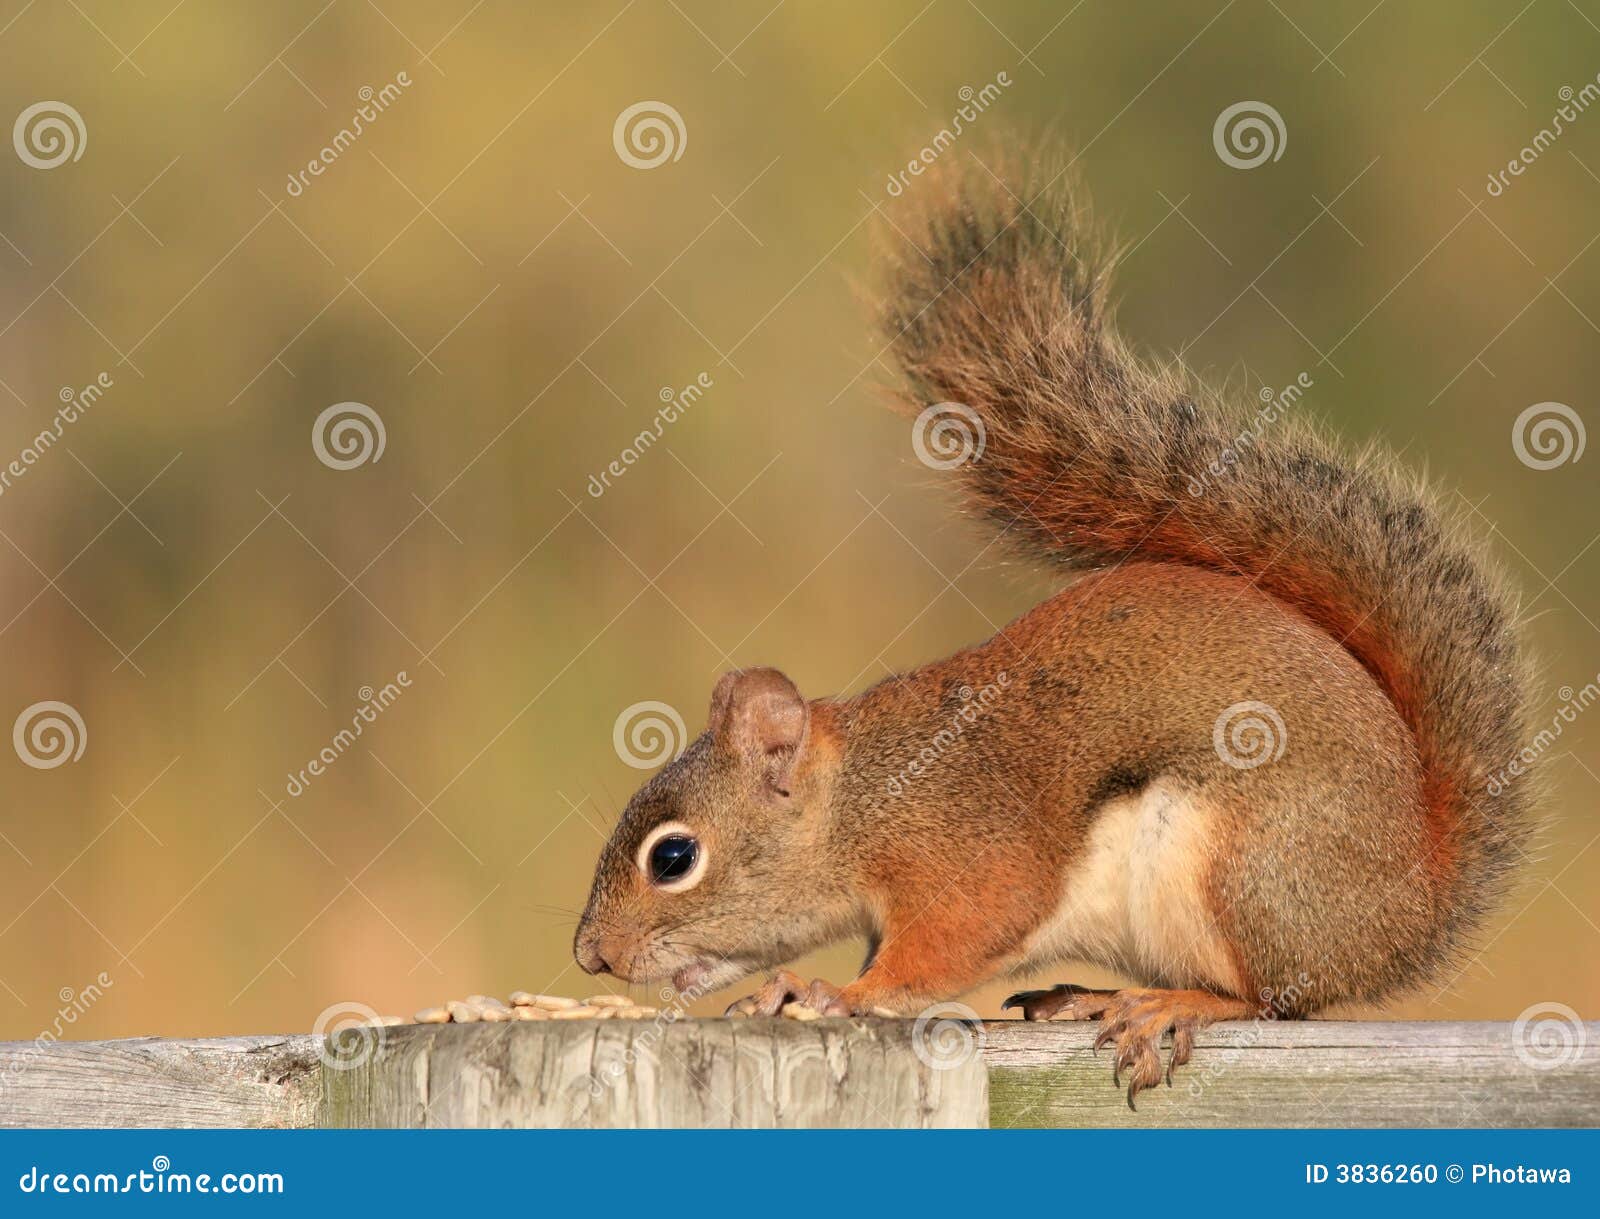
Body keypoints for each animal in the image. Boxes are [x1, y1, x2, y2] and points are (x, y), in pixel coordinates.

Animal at [574, 152, 1539, 1104]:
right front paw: (787, 986)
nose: (590, 955)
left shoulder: (962, 853)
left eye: (673, 856)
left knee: (1272, 997)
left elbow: (943, 947)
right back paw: (1086, 994)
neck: (860, 800)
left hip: (1250, 870)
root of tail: (1411, 906)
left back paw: (1172, 1004)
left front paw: (830, 990)